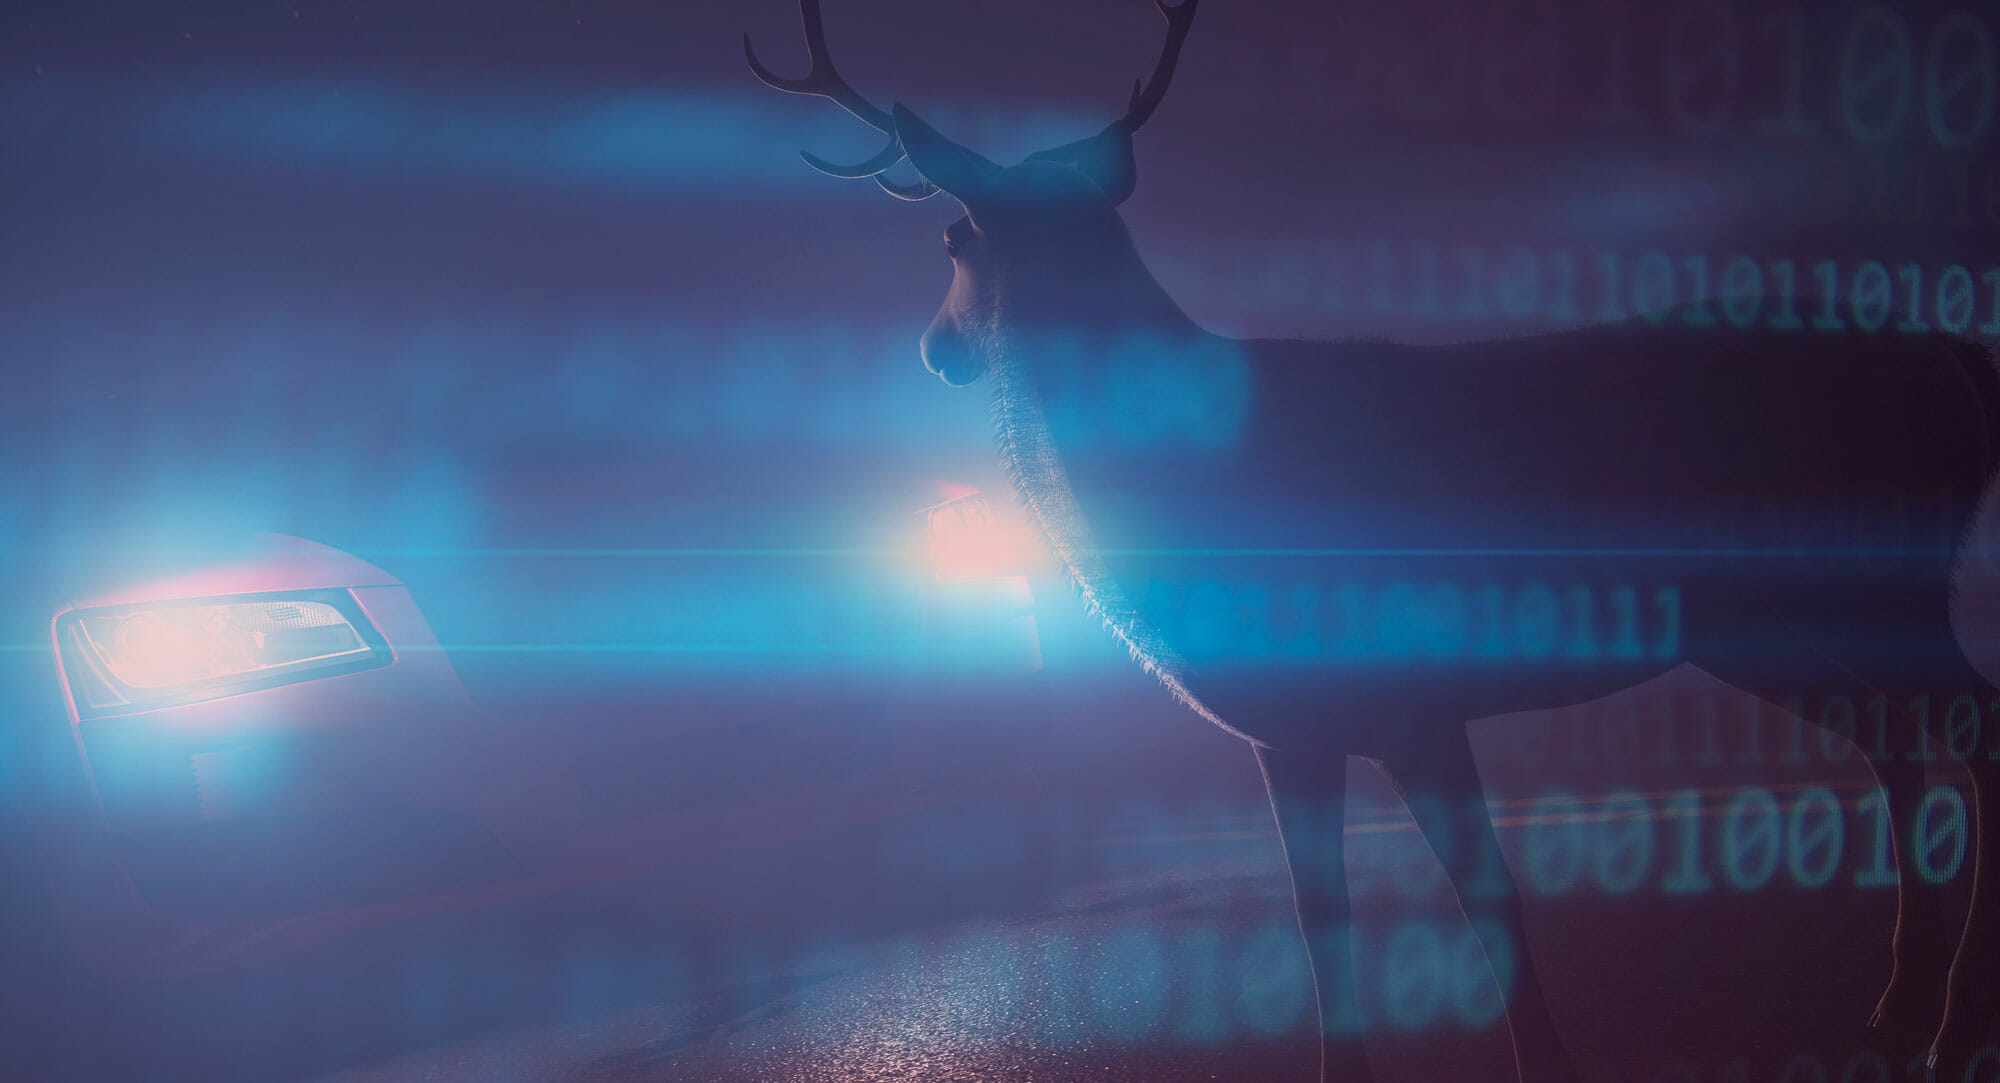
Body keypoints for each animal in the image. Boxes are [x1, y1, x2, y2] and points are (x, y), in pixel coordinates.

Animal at [746, 2, 2000, 1079]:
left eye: (953, 234)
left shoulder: (1417, 691)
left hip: (1869, 578)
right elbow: (1321, 923)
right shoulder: (1286, 730)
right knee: (1892, 742)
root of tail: (1957, 361)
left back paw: (1949, 1026)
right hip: (1773, 618)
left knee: (1960, 727)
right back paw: (1896, 1008)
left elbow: (1489, 897)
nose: (936, 352)